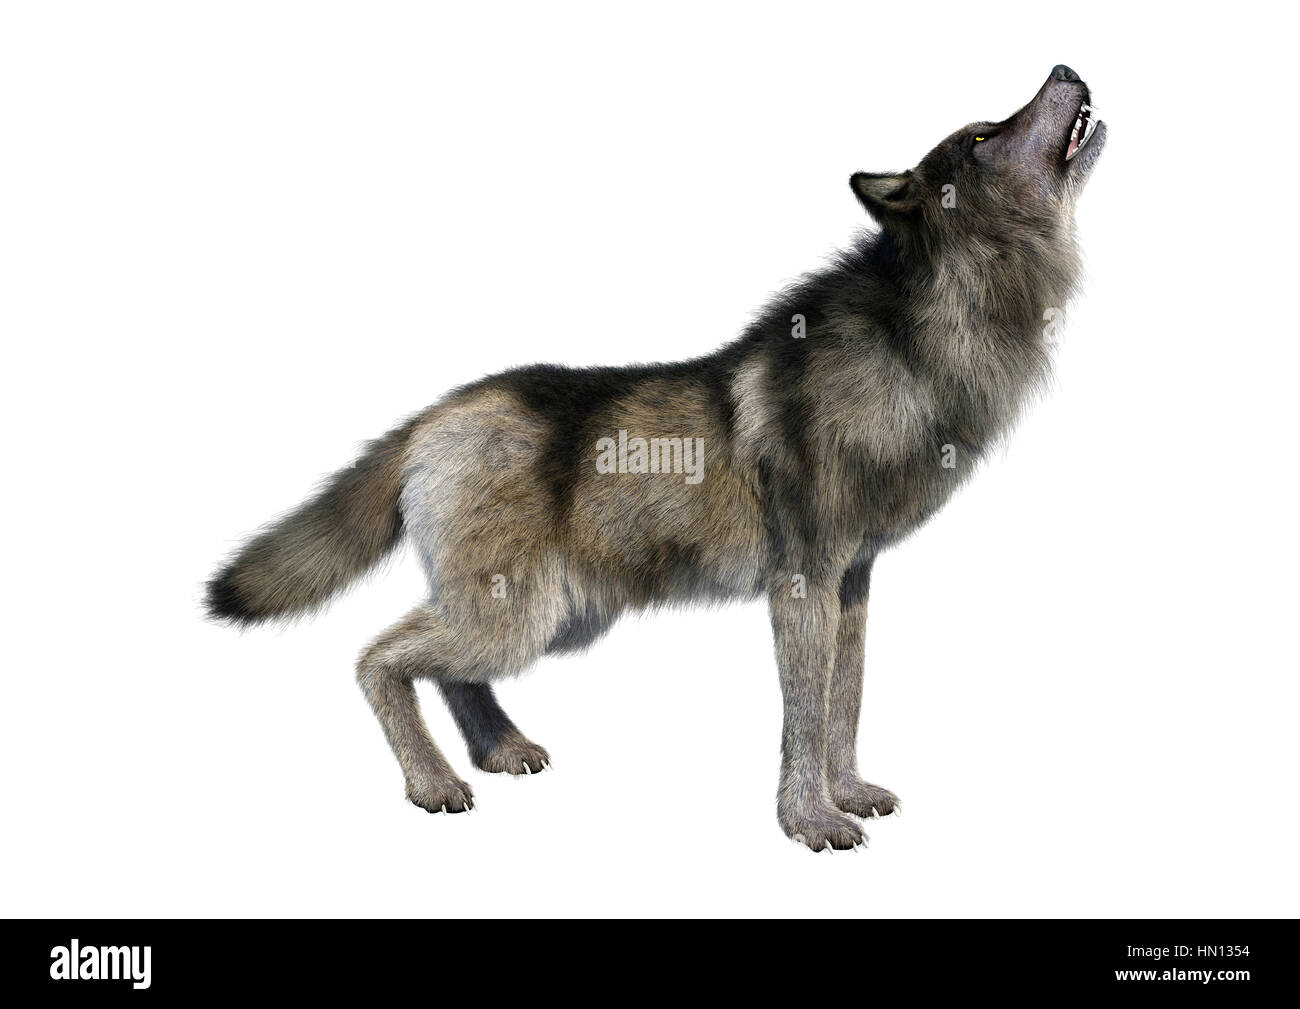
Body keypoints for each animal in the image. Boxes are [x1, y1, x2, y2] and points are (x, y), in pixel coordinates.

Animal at [207, 66, 1105, 850]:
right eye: (983, 135)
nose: (1065, 68)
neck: (927, 331)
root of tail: (435, 415)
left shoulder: (852, 582)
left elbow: (843, 706)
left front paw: (847, 794)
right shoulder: (803, 583)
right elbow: (805, 718)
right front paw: (810, 823)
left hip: (552, 618)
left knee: (445, 670)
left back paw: (500, 752)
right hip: (521, 617)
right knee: (376, 657)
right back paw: (433, 783)